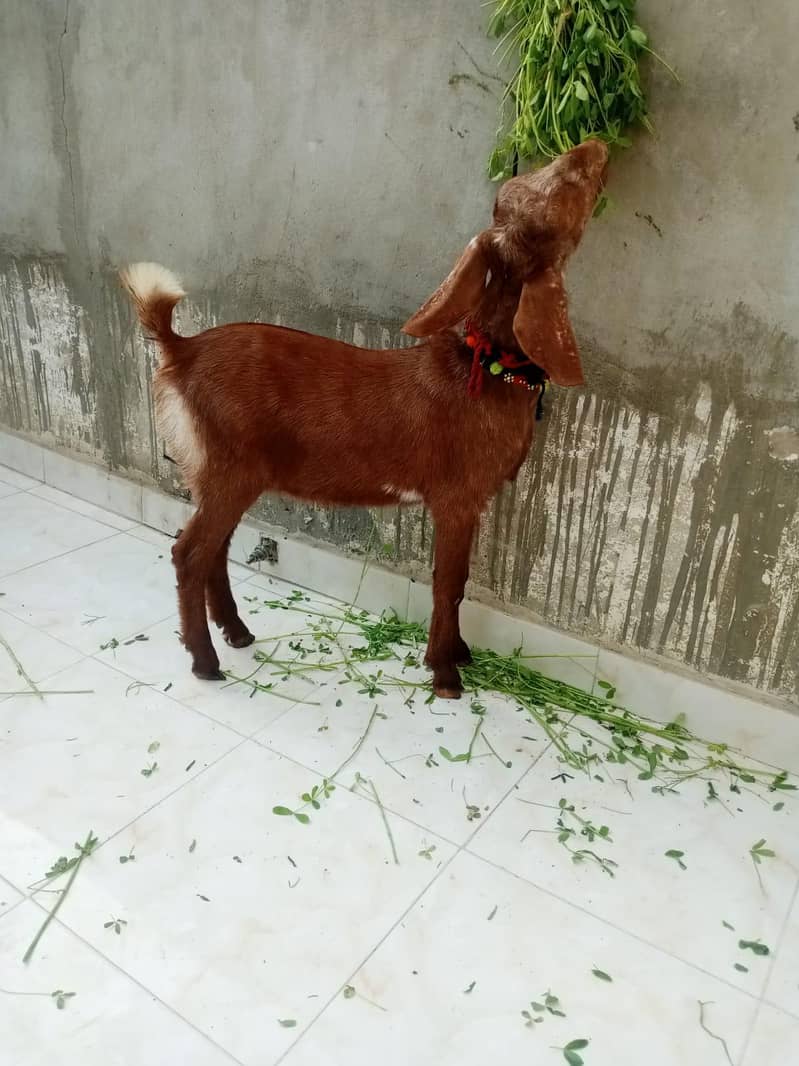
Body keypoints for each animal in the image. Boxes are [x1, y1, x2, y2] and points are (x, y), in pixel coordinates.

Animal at [121, 139, 608, 698]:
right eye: (561, 190)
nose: (595, 148)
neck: (483, 369)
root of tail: (179, 351)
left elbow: (456, 583)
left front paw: (460, 653)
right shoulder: (456, 495)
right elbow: (449, 581)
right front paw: (445, 673)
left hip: (216, 471)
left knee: (213, 549)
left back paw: (238, 633)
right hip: (228, 465)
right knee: (189, 552)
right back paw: (205, 661)